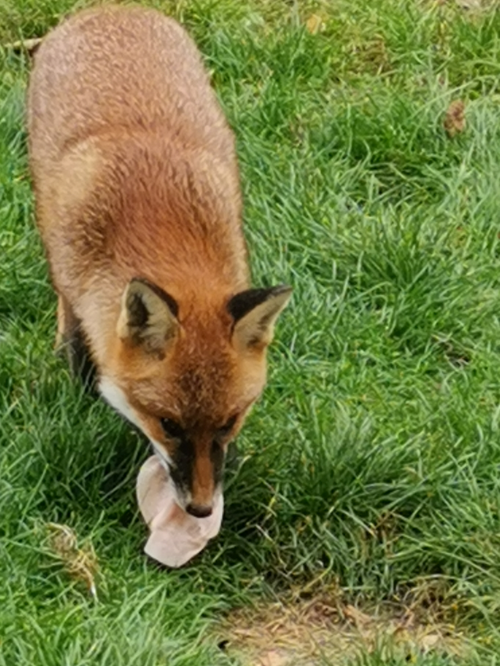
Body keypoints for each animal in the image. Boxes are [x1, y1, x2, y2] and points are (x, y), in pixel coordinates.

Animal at [27, 5, 291, 519]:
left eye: (229, 421)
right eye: (168, 424)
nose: (202, 510)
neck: (162, 225)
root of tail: (111, 9)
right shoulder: (75, 286)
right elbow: (80, 349)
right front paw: (82, 397)